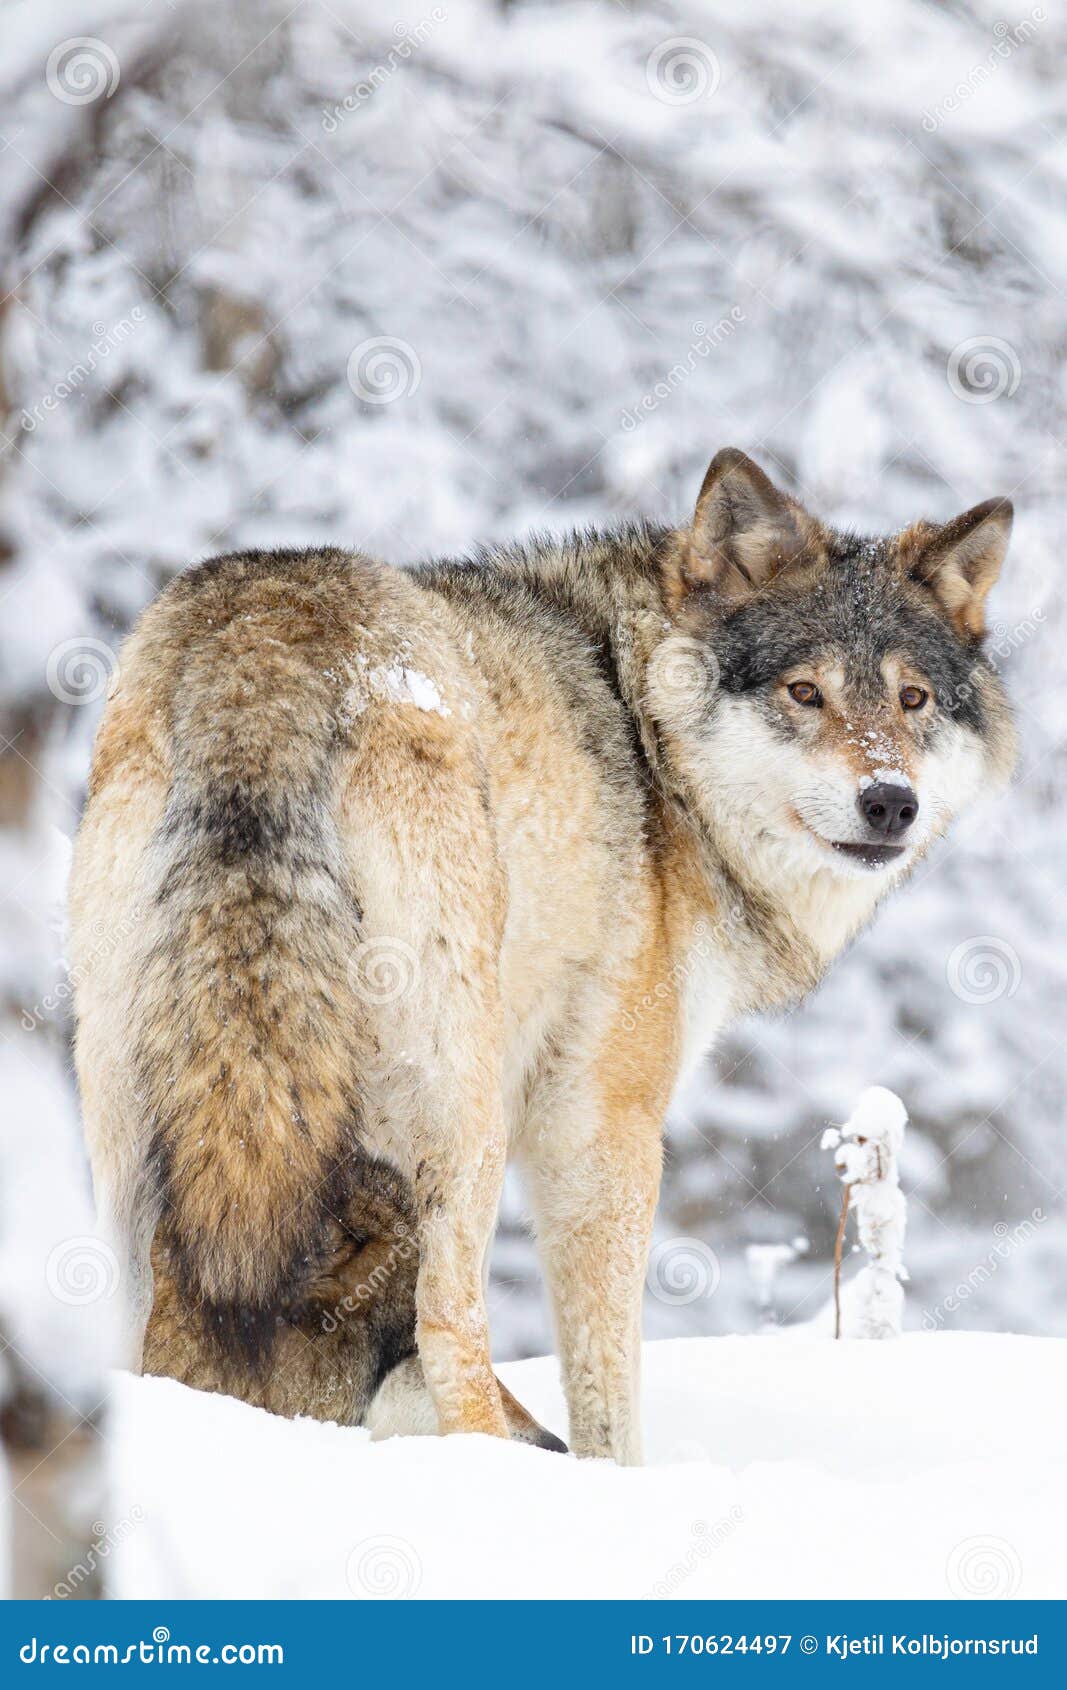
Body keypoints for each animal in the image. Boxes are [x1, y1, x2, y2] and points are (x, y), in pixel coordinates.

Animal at [69, 448, 1015, 1463]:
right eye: (806, 693)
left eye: (913, 700)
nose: (890, 802)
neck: (652, 748)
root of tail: (266, 633)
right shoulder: (600, 1124)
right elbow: (609, 1387)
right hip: (467, 1111)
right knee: (451, 1324)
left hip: (130, 1123)